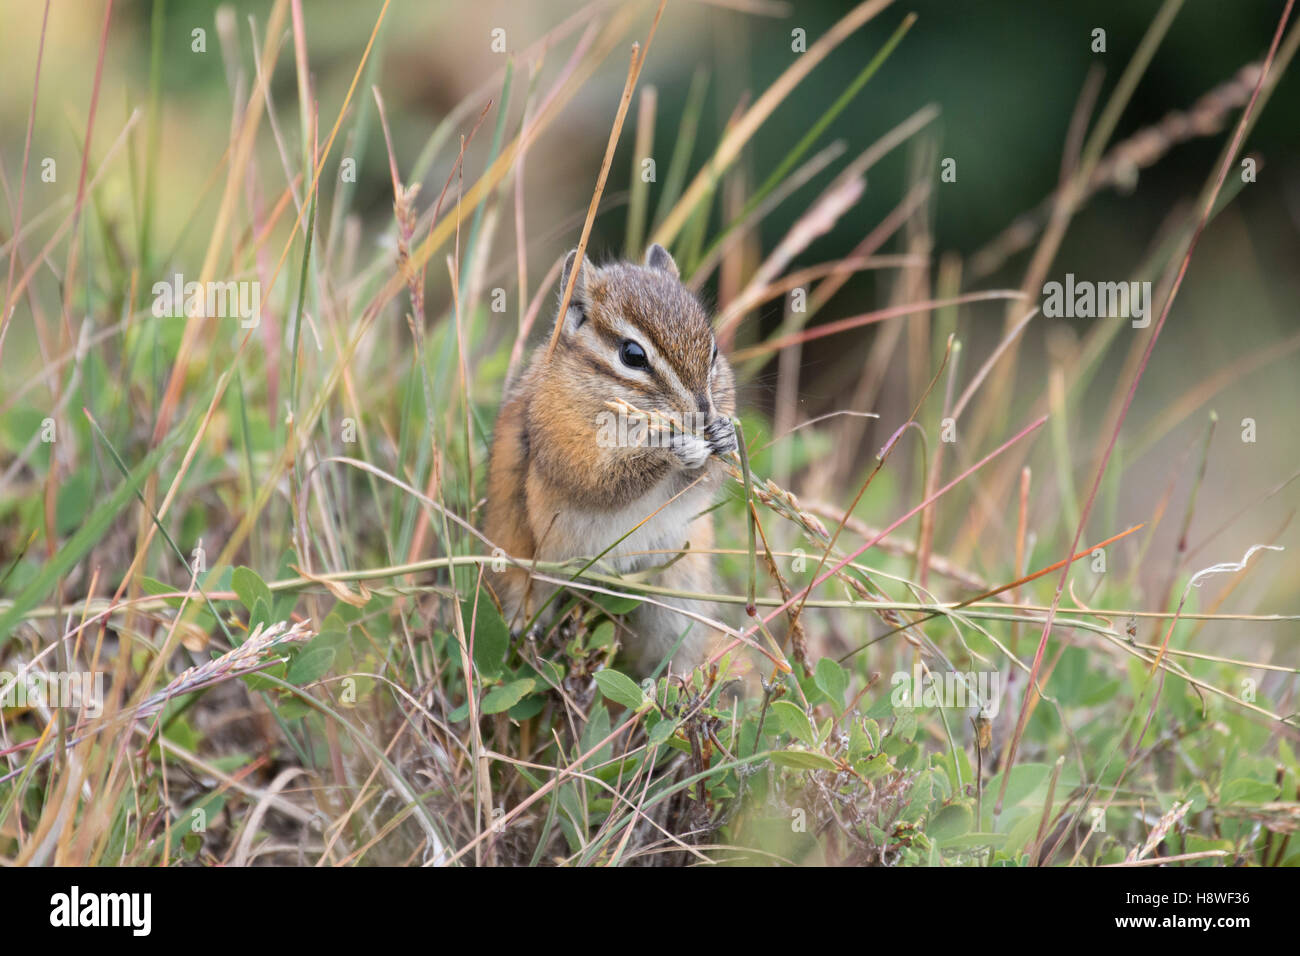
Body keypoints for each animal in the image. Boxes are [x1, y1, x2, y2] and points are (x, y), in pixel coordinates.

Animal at [484, 243, 737, 677]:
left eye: (714, 350)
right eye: (632, 355)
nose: (703, 415)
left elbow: (701, 483)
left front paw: (723, 435)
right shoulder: (569, 448)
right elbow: (603, 482)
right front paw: (671, 447)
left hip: (677, 598)